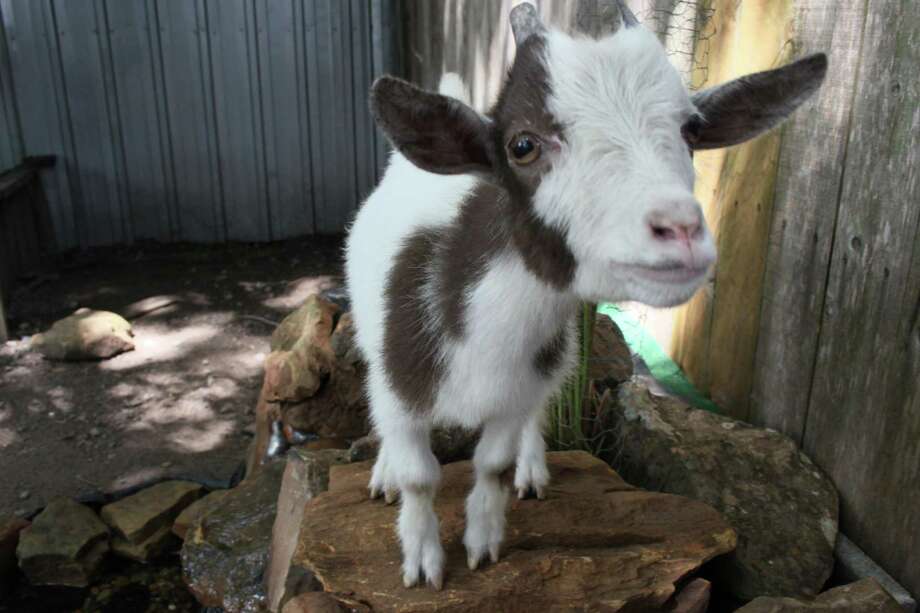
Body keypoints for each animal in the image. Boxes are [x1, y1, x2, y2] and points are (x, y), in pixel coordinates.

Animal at [345, 0, 826, 590]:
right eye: (522, 145)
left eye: (691, 129)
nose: (680, 230)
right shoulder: (400, 384)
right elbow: (420, 475)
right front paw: (421, 561)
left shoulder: (517, 388)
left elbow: (492, 463)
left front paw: (484, 540)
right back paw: (384, 475)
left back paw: (532, 469)